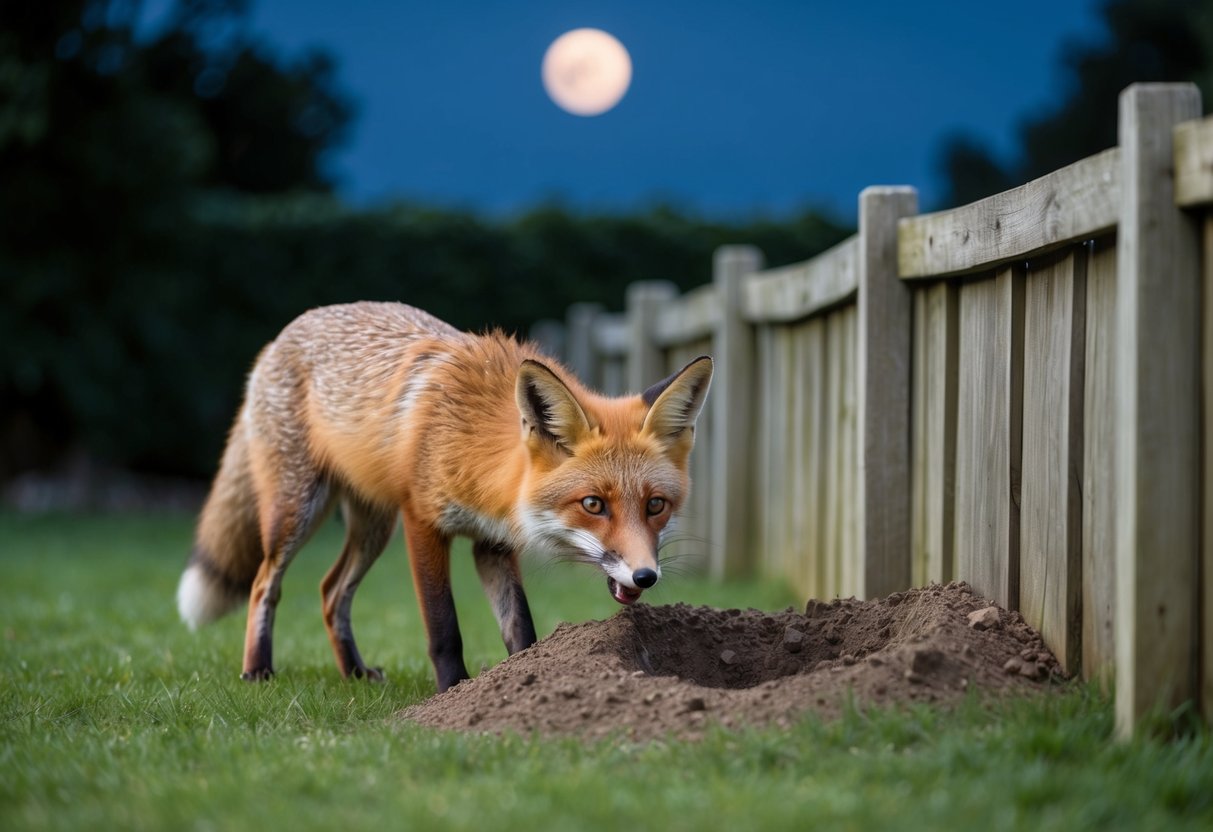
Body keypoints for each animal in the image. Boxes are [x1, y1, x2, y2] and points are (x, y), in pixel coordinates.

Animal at [176, 301, 713, 693]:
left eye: (655, 505)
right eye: (593, 505)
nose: (645, 576)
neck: (476, 449)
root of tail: (284, 334)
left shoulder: (492, 544)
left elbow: (520, 627)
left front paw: (524, 680)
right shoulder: (423, 523)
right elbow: (443, 628)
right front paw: (453, 690)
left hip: (374, 527)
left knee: (331, 593)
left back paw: (355, 673)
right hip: (297, 512)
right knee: (264, 582)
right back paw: (257, 669)